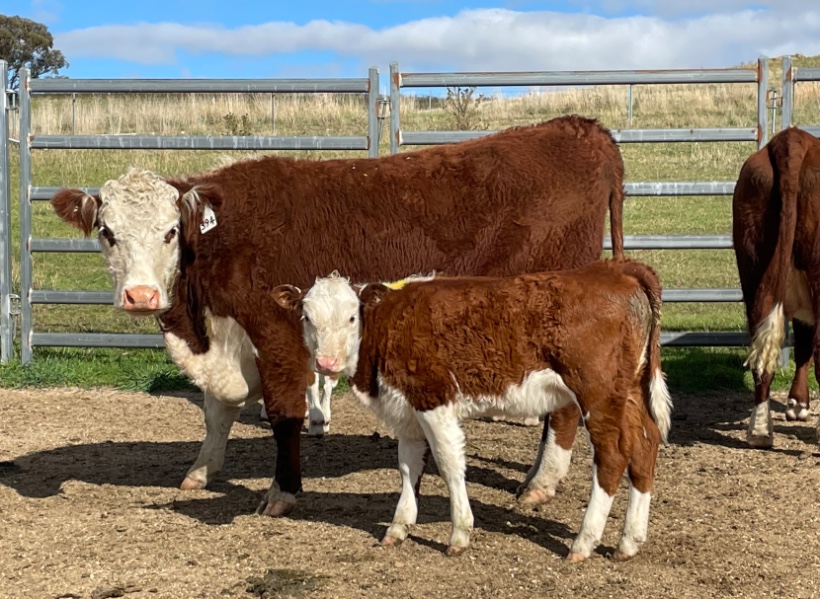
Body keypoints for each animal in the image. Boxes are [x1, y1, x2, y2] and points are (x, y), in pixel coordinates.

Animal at [50, 115, 625, 517]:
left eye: (170, 232)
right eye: (107, 232)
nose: (141, 295)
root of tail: (578, 127)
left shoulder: (278, 332)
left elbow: (283, 413)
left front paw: (281, 492)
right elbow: (217, 412)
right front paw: (201, 471)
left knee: (565, 409)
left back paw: (540, 485)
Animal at [272, 260, 672, 561]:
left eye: (352, 317)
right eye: (307, 317)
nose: (326, 362)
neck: (388, 323)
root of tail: (617, 270)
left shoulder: (434, 401)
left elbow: (450, 465)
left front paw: (459, 534)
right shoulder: (406, 410)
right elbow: (408, 467)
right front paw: (399, 527)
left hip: (597, 394)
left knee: (612, 456)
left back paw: (584, 542)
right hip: (628, 393)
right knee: (644, 445)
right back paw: (629, 542)